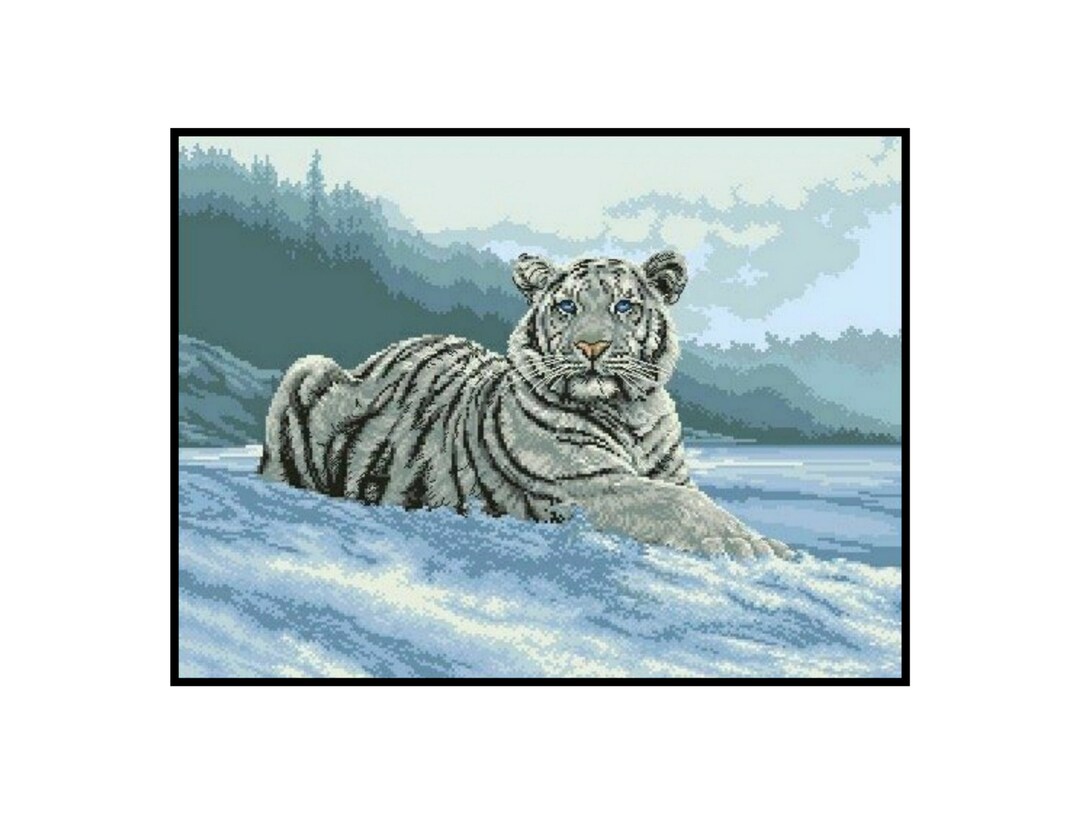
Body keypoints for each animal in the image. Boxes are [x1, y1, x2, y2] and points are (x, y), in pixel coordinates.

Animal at [258, 250, 793, 559]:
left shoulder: (668, 473)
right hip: (306, 370)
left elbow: (691, 496)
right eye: (567, 307)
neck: (628, 413)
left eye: (624, 306)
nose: (591, 346)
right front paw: (751, 545)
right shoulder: (588, 482)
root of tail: (376, 355)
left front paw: (754, 540)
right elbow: (678, 503)